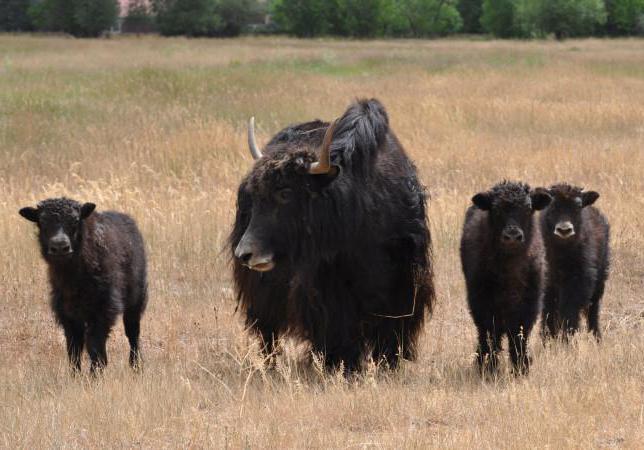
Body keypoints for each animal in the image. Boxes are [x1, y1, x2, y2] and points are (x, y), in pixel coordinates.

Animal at [19, 197, 148, 372]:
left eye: (75, 220)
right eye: (42, 221)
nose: (60, 247)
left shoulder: (103, 310)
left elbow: (94, 345)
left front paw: (95, 373)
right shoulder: (68, 314)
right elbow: (74, 348)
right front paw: (76, 375)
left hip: (136, 300)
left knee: (133, 332)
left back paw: (136, 365)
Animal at [460, 181, 552, 374]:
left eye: (528, 208)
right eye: (496, 209)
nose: (512, 236)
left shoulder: (529, 304)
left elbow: (519, 334)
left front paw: (521, 367)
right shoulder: (482, 302)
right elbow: (490, 333)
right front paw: (487, 367)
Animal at [540, 183, 608, 342]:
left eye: (578, 205)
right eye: (552, 204)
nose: (564, 230)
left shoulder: (578, 282)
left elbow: (569, 310)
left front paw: (566, 338)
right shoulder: (548, 284)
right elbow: (548, 311)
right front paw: (548, 338)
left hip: (599, 283)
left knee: (592, 312)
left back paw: (597, 338)